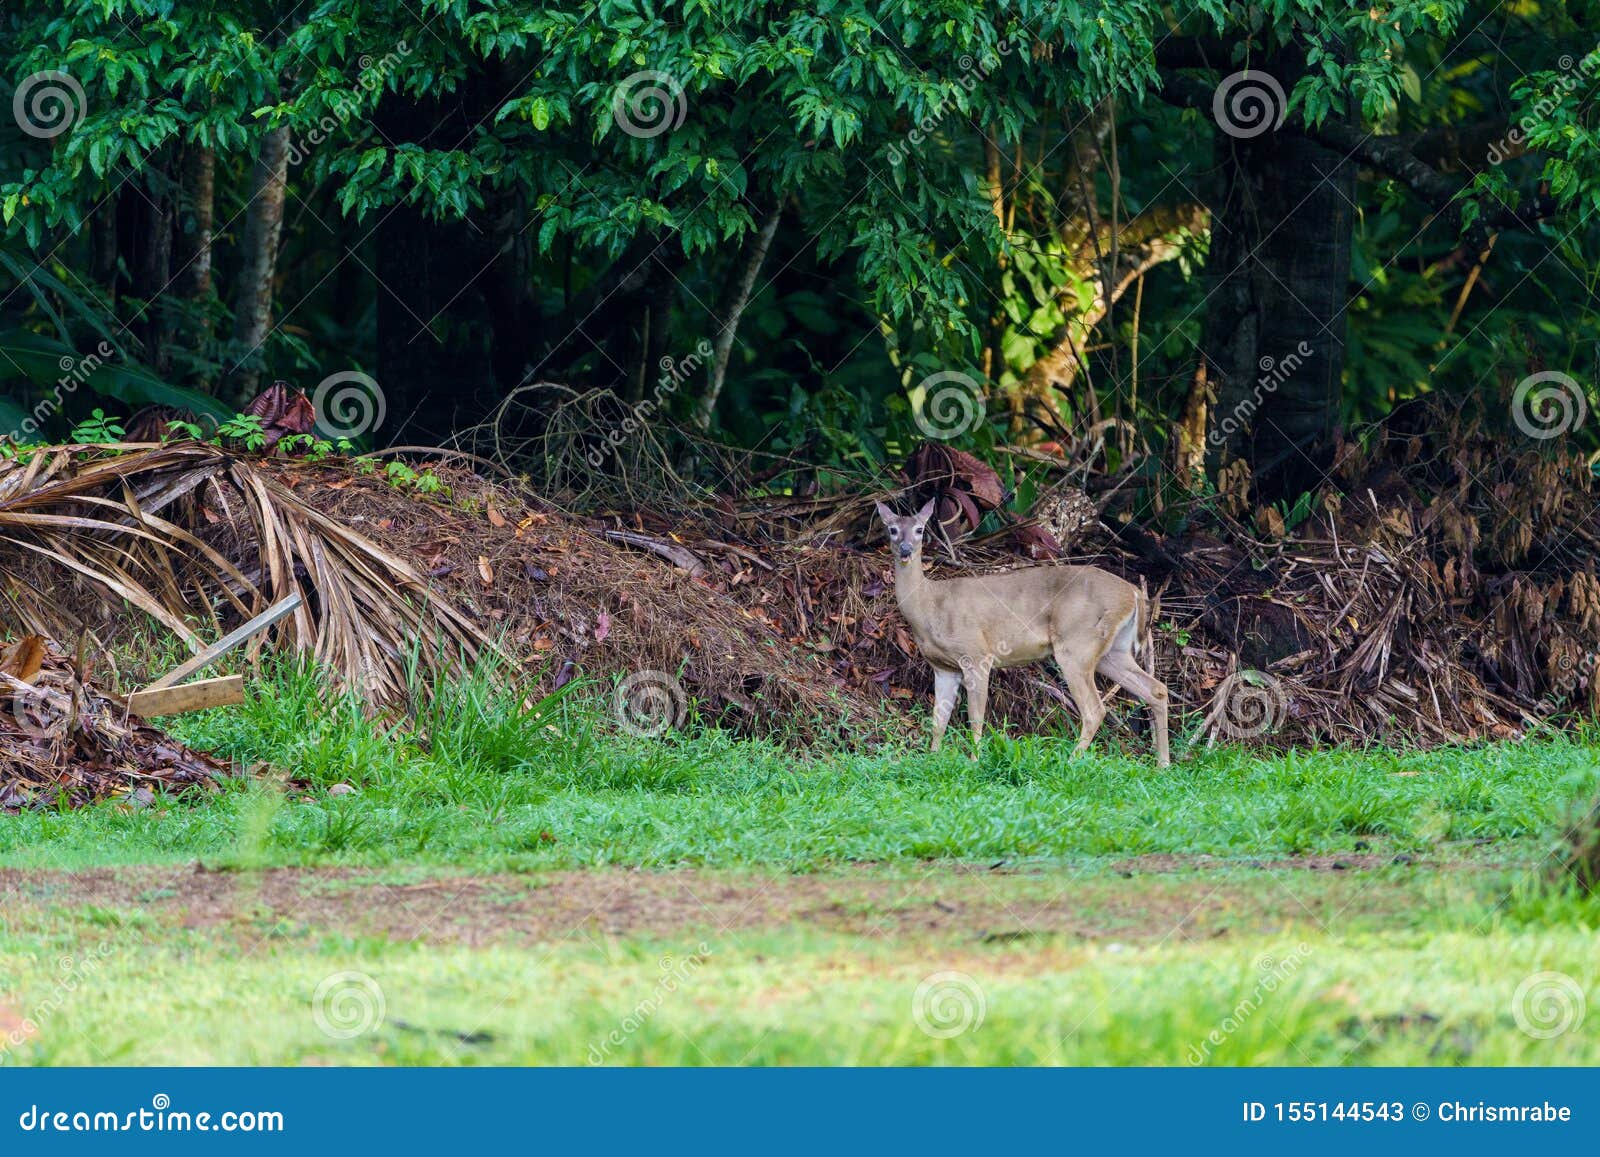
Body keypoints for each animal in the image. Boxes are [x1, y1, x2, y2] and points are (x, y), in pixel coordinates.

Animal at [874, 499, 1170, 767]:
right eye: (892, 529)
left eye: (919, 529)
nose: (905, 549)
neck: (929, 607)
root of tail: (1133, 592)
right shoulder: (943, 667)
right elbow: (938, 719)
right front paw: (932, 759)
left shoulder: (976, 653)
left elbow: (975, 716)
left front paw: (974, 761)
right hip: (1113, 650)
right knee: (1156, 689)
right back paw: (1162, 764)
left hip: (1077, 644)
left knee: (1095, 709)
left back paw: (1070, 761)